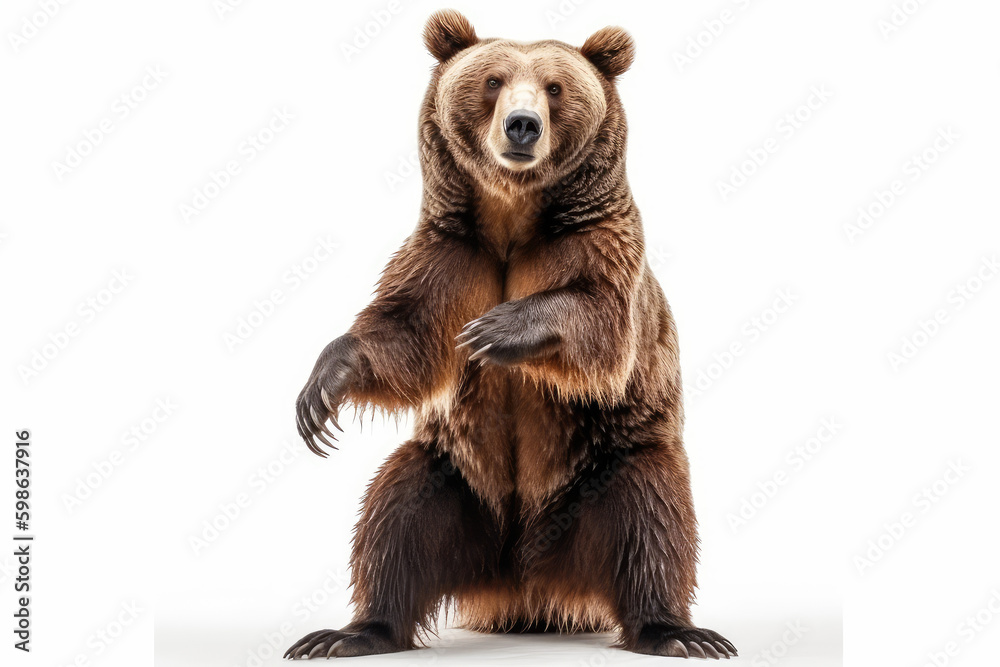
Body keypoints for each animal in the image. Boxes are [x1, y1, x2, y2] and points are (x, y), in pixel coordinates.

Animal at [285, 9, 736, 661]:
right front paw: (323, 387)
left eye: (555, 87)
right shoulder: (451, 254)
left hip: (609, 464)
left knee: (652, 522)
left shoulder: (597, 243)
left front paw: (495, 330)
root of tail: (525, 583)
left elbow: (599, 318)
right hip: (456, 478)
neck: (511, 214)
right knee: (395, 518)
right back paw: (351, 632)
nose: (523, 126)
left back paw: (677, 632)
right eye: (493, 81)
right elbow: (406, 333)